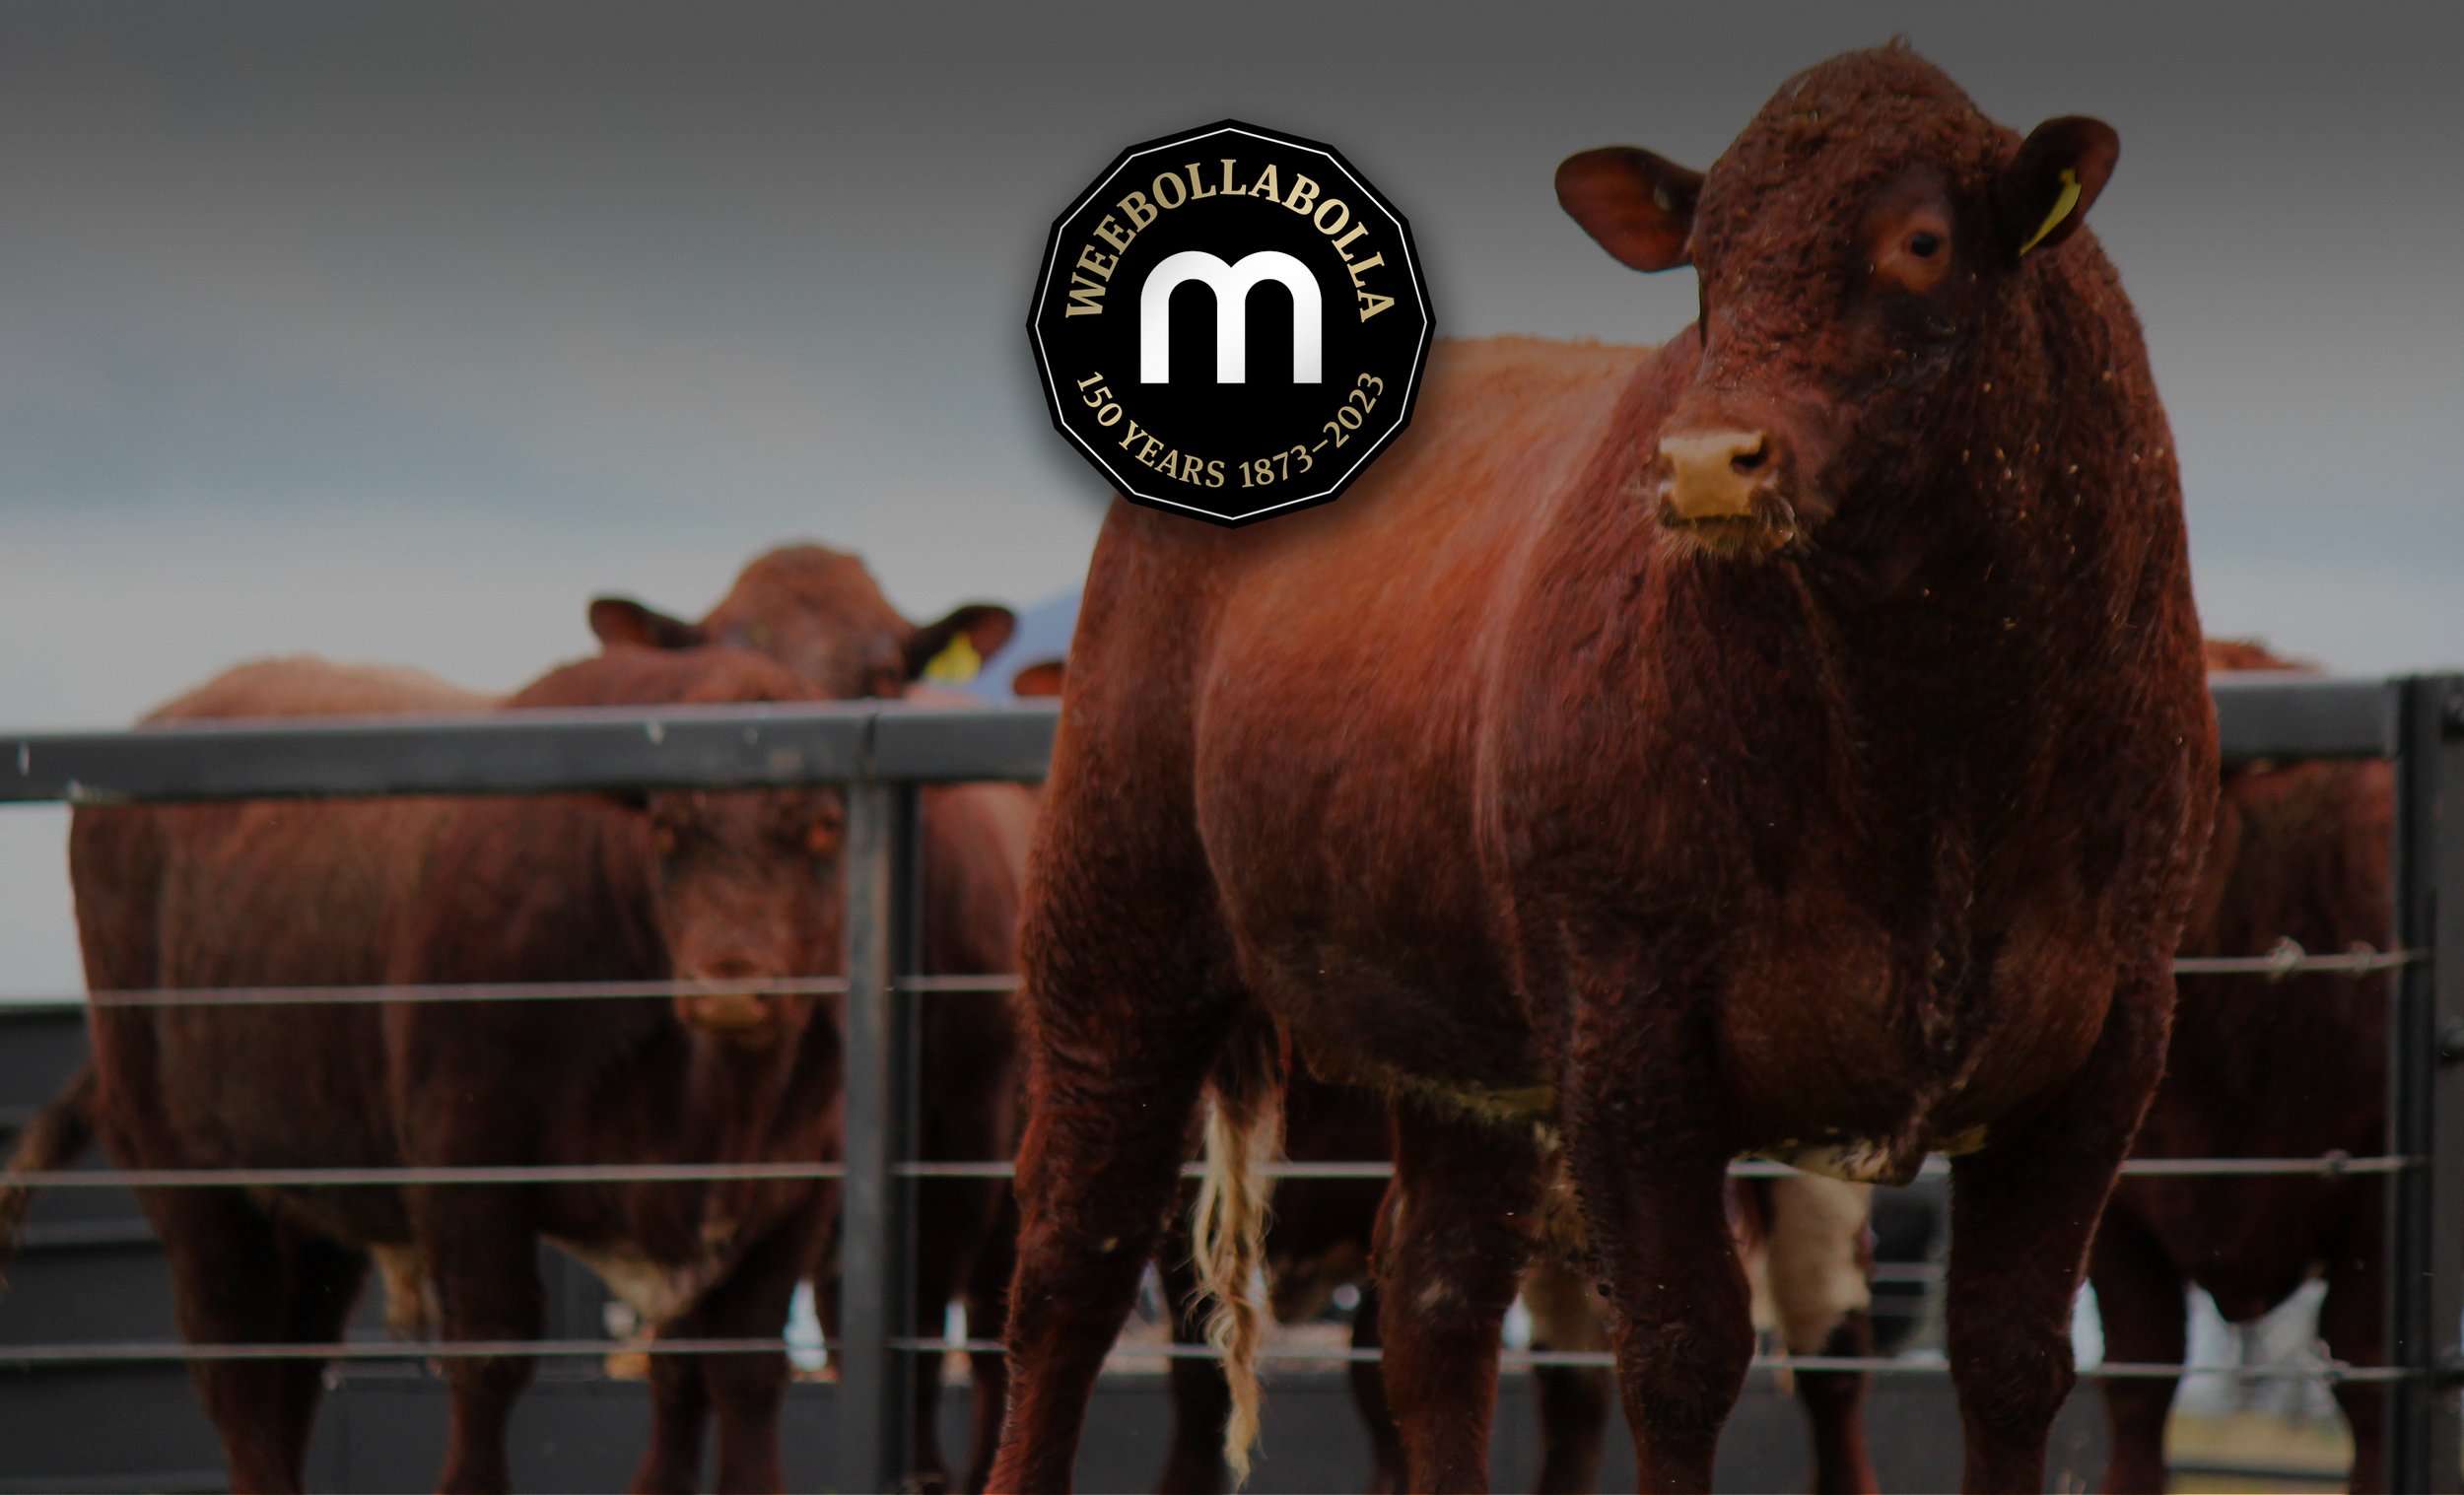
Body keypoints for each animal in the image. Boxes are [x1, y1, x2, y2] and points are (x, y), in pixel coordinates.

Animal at [991, 43, 2215, 1495]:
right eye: (1704, 261)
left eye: (1921, 241)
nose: (1707, 462)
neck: (1935, 754)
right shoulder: (1627, 1018)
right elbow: (1683, 1352)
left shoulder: (2106, 1038)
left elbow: (2013, 1353)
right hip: (1112, 927)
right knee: (1073, 1256)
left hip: (1454, 1029)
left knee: (1435, 1298)